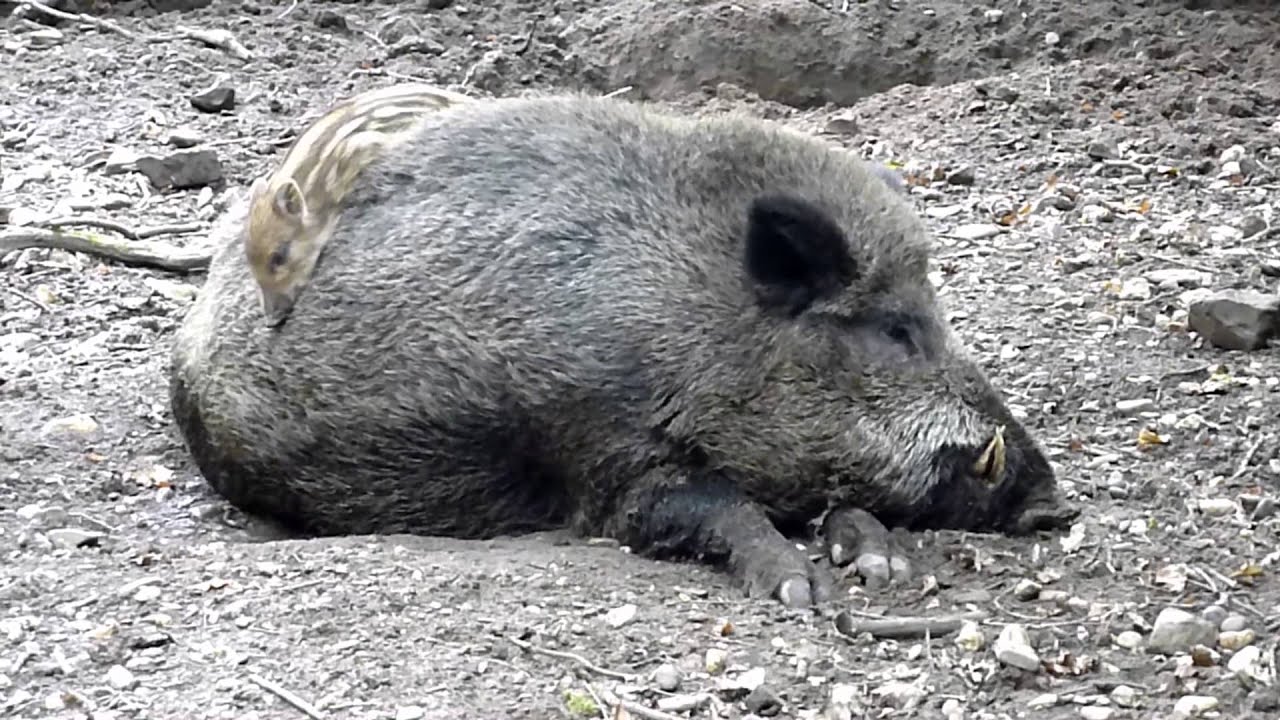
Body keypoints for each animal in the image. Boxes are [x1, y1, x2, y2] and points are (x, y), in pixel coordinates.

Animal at [169, 93, 1077, 608]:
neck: (697, 321)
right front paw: (801, 591)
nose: (1053, 505)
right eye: (893, 329)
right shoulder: (603, 453)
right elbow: (710, 507)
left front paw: (884, 570)